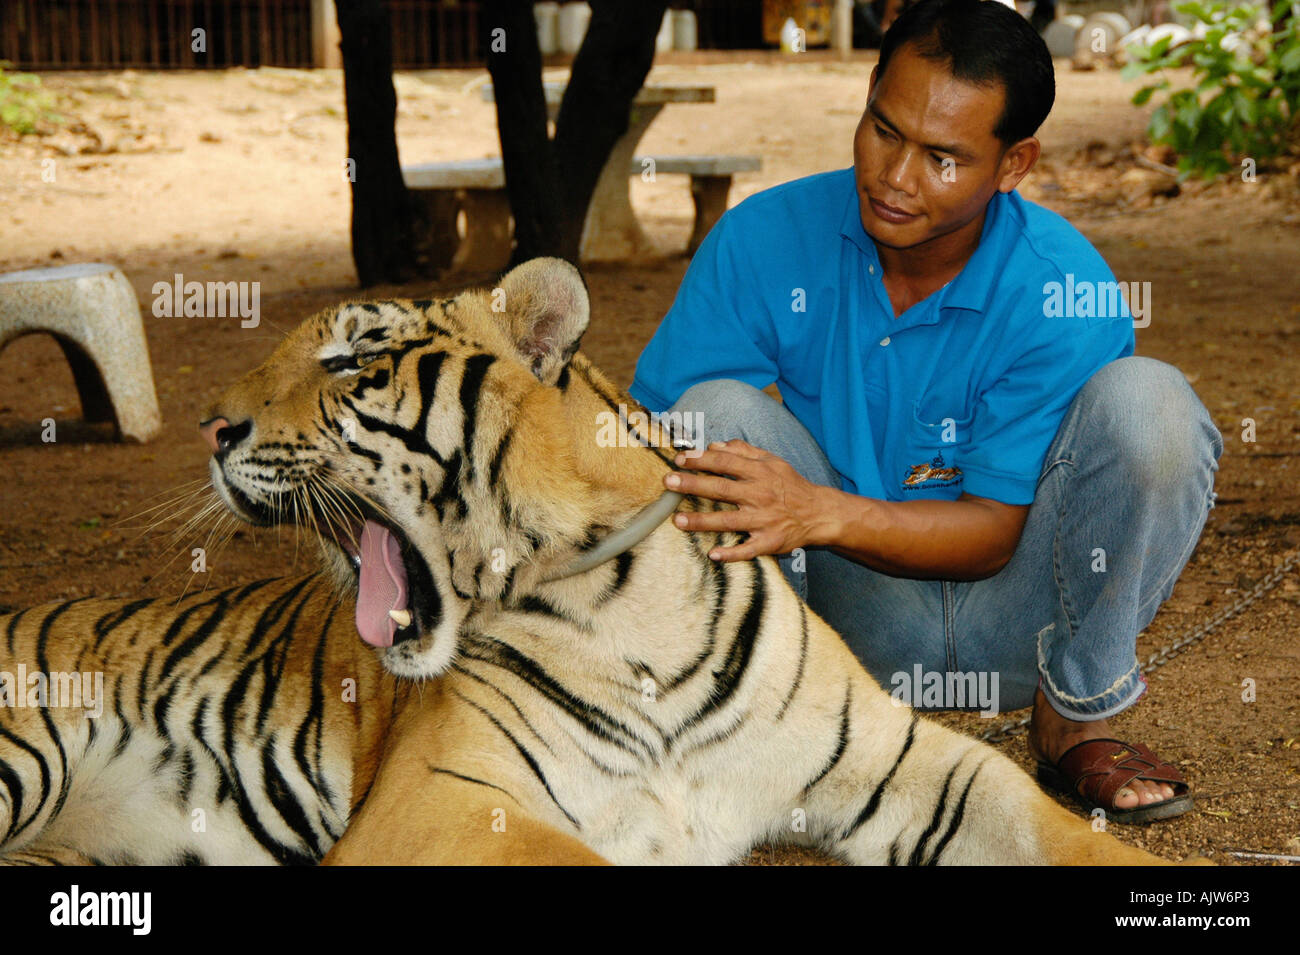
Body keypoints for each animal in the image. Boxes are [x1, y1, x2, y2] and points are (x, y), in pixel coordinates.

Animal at [0, 257, 1195, 865]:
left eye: (352, 360)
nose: (211, 430)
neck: (620, 605)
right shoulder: (444, 803)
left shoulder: (904, 759)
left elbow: (1059, 834)